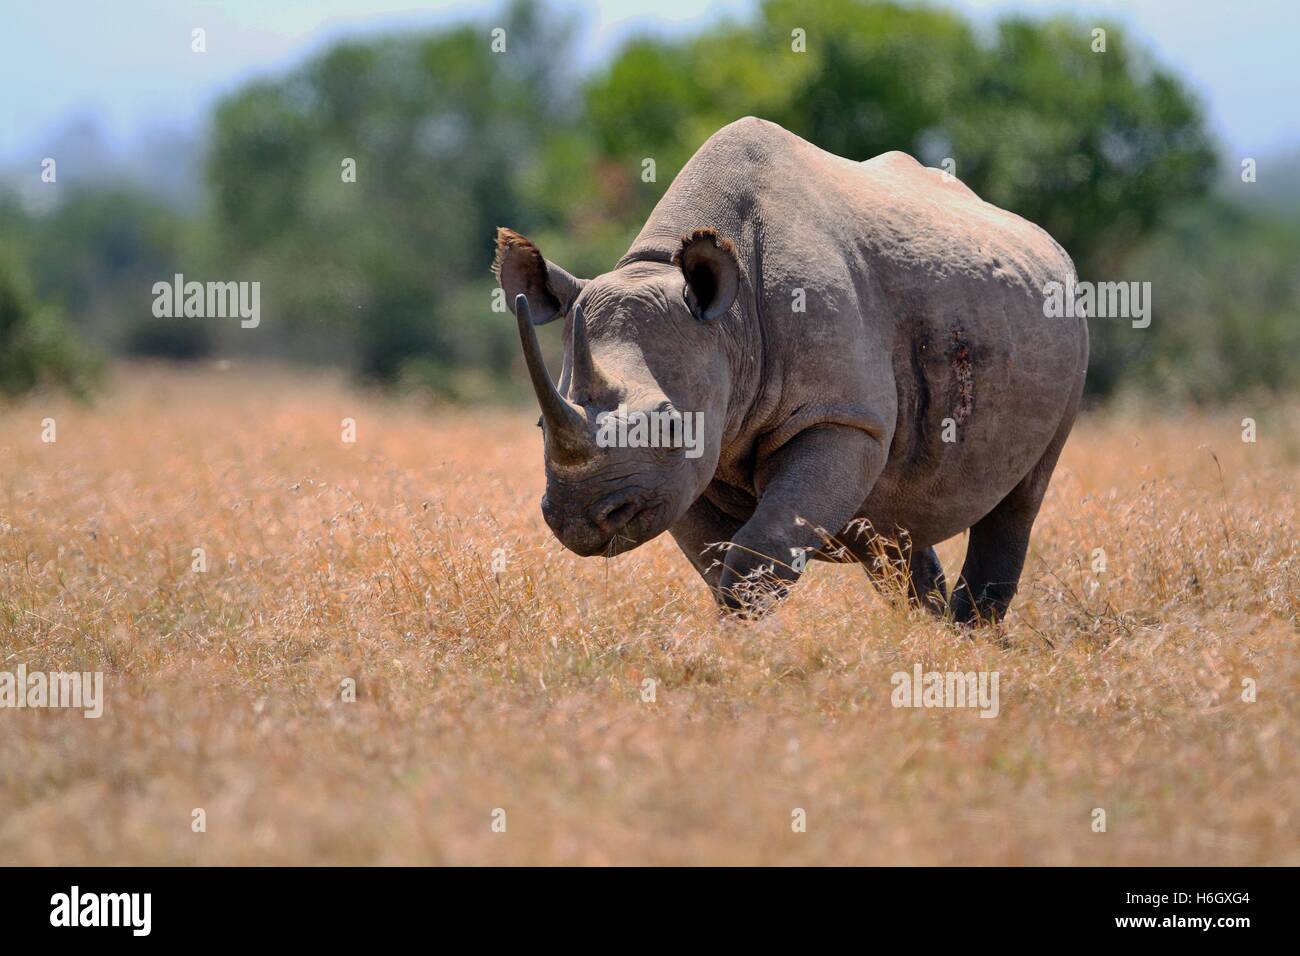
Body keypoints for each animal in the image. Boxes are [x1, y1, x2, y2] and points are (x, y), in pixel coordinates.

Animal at [494, 117, 1088, 621]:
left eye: (668, 422)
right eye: (541, 425)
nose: (579, 521)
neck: (727, 326)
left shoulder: (839, 417)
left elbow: (756, 554)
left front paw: (743, 648)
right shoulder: (688, 463)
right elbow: (721, 563)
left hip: (1069, 323)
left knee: (1020, 500)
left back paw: (970, 637)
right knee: (888, 528)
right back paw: (929, 629)